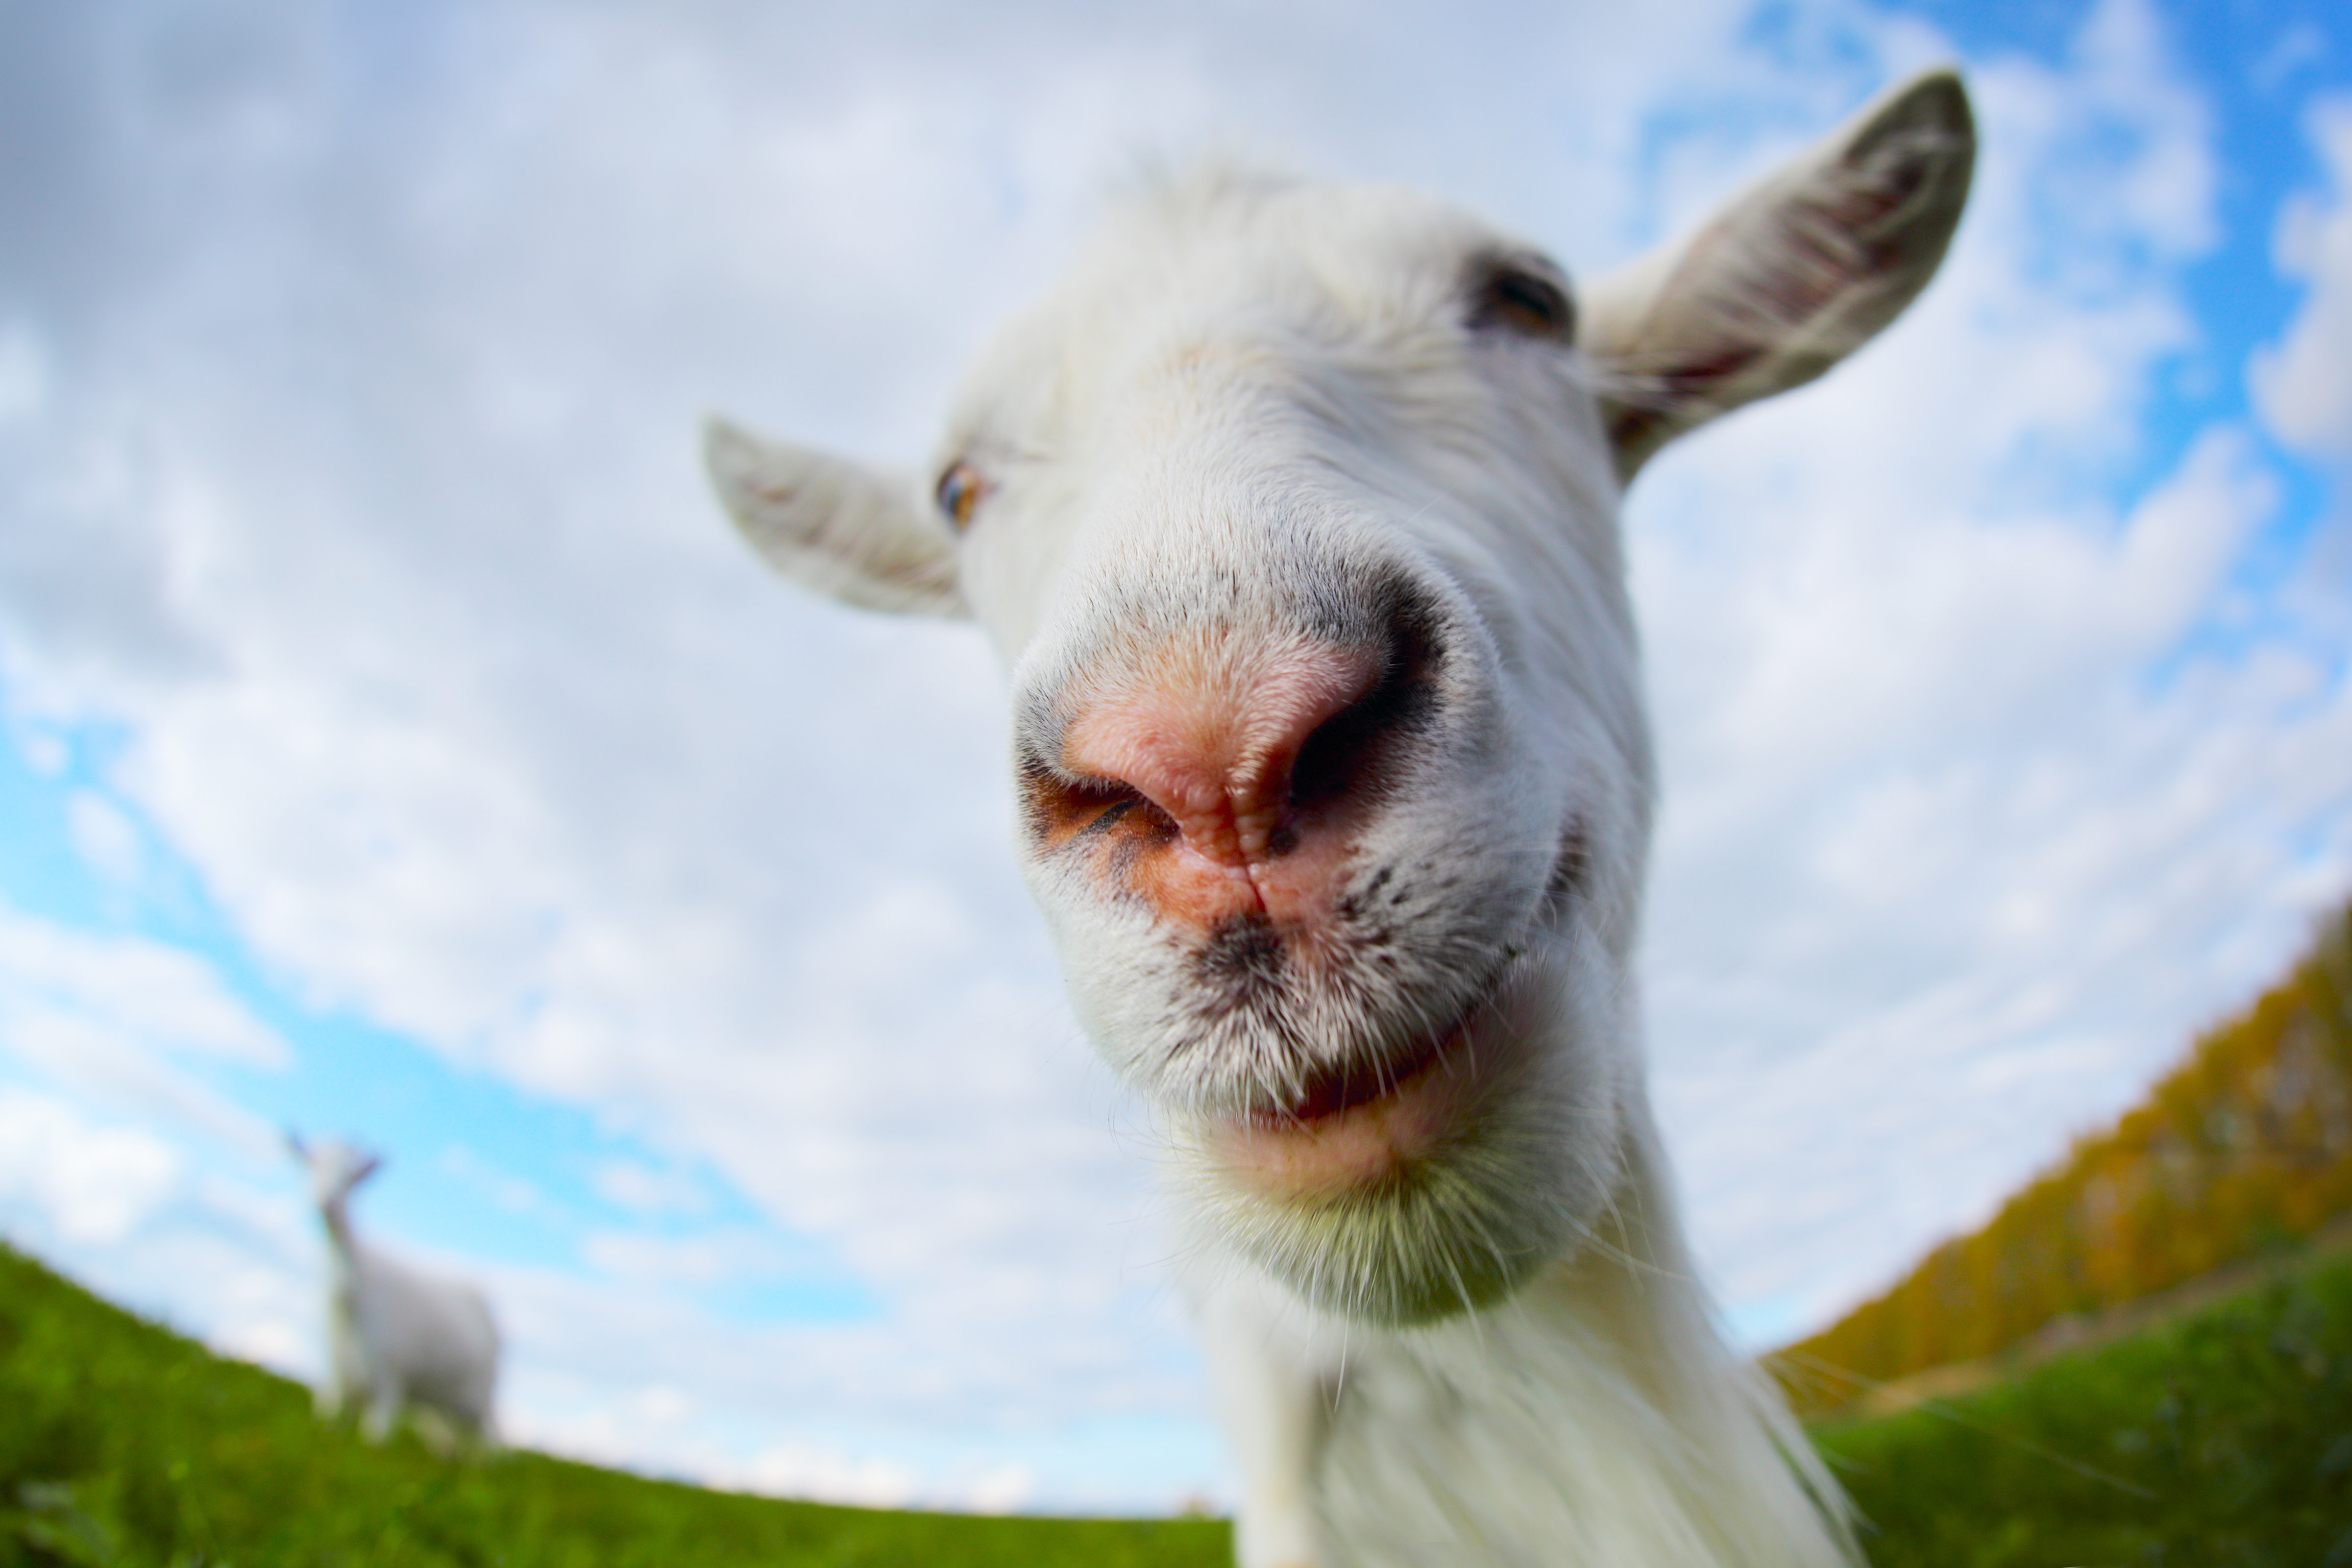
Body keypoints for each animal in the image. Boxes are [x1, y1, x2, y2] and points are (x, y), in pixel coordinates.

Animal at [289, 1133, 501, 1451]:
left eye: (351, 1178)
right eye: (312, 1164)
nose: (327, 1204)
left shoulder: (389, 1383)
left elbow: (374, 1441)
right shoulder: (335, 1383)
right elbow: (326, 1424)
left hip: (483, 1397)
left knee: (492, 1442)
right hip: (446, 1410)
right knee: (452, 1438)